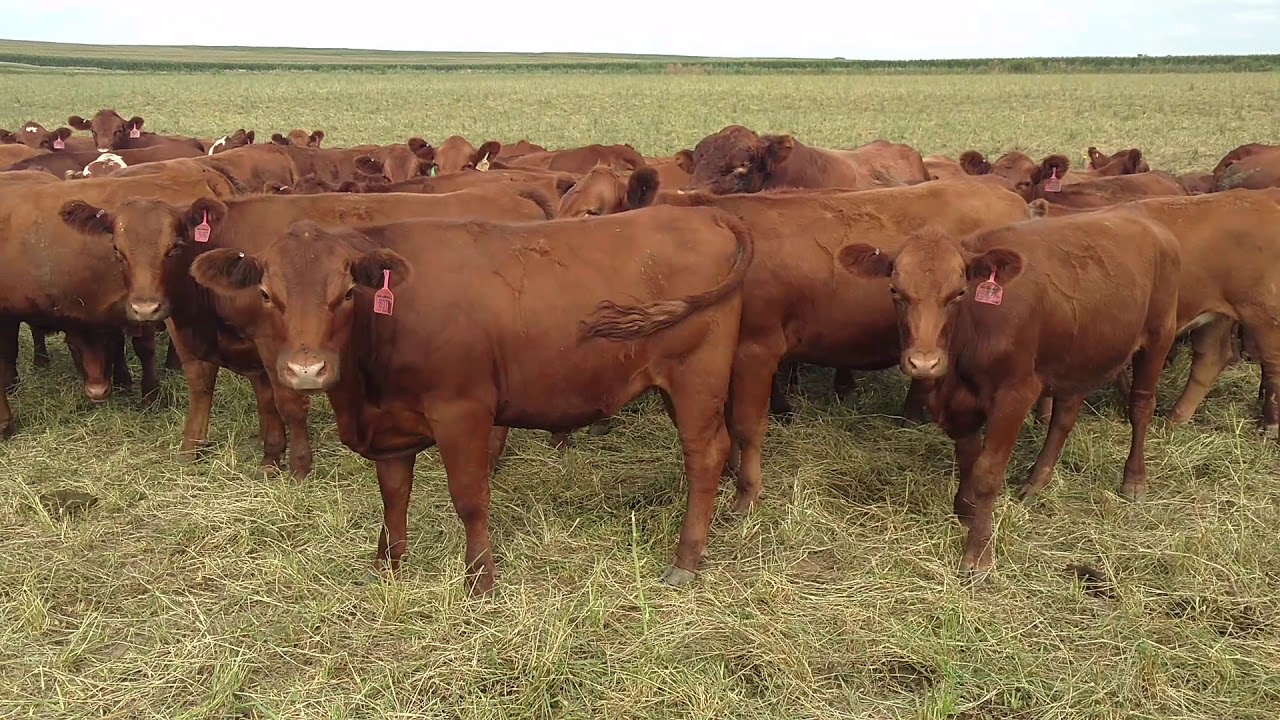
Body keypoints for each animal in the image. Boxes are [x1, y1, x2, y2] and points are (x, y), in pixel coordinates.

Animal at [62, 188, 557, 477]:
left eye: (174, 246)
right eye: (117, 250)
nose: (146, 307)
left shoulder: (276, 345)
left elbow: (288, 401)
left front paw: (299, 464)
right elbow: (232, 392)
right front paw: (247, 455)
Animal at [188, 204, 753, 596]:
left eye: (346, 293)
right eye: (266, 294)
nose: (306, 370)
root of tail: (703, 211)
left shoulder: (462, 412)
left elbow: (469, 498)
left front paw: (480, 580)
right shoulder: (391, 428)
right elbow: (394, 496)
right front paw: (387, 566)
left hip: (696, 379)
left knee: (705, 456)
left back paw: (685, 560)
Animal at [837, 206, 1181, 574]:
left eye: (959, 292)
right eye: (894, 290)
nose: (924, 363)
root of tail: (1145, 221)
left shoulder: (1015, 394)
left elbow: (988, 472)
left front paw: (978, 555)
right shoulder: (959, 405)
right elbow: (969, 459)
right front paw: (967, 510)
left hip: (1159, 338)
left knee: (1141, 407)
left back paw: (1134, 481)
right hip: (1079, 352)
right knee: (1064, 417)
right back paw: (1036, 481)